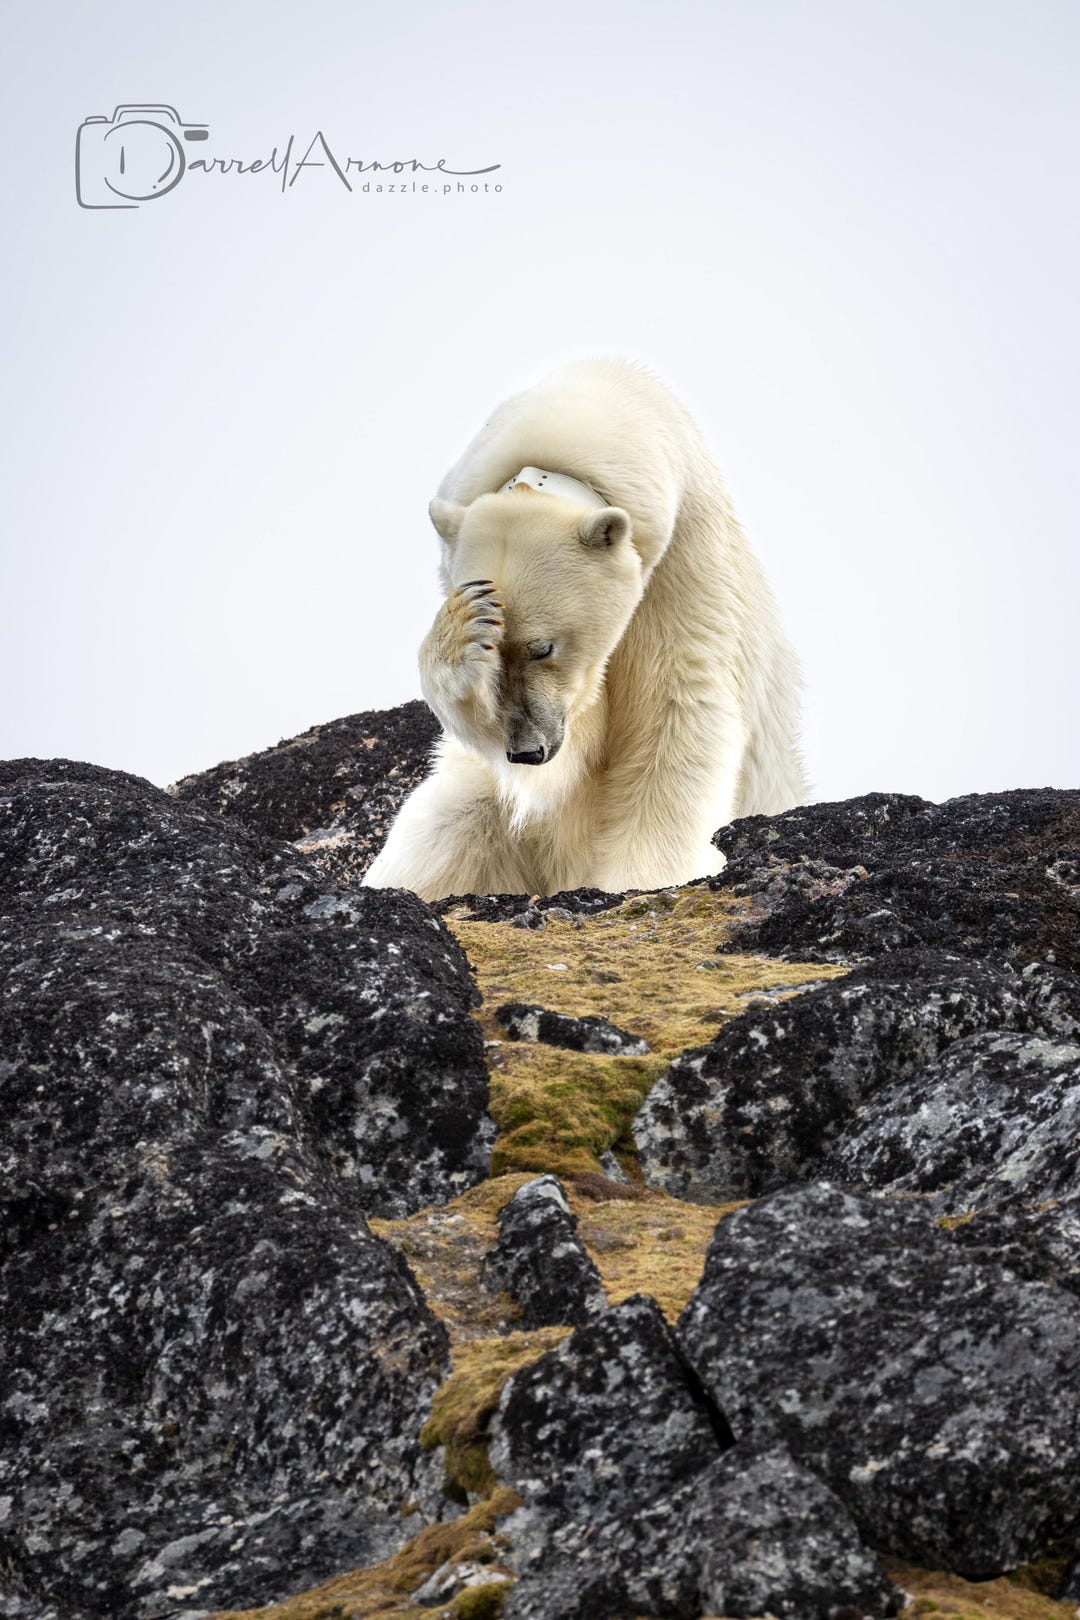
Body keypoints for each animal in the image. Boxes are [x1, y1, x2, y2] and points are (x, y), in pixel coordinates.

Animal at [362, 358, 807, 902]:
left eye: (542, 647)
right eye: (494, 652)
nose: (526, 750)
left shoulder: (685, 561)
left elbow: (676, 709)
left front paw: (643, 878)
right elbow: (561, 768)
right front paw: (462, 630)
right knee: (446, 830)